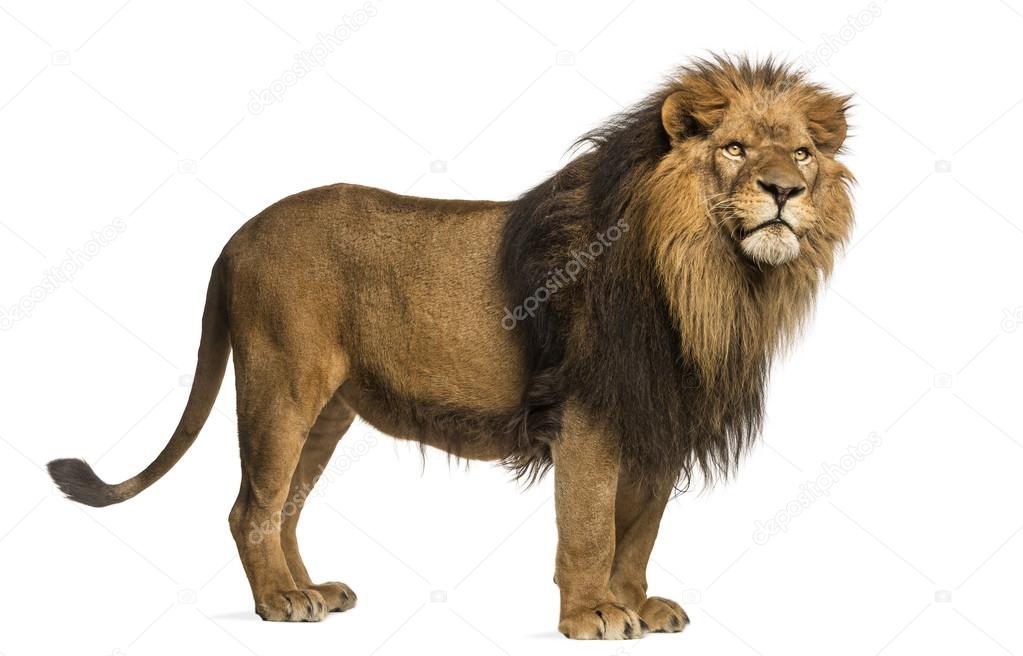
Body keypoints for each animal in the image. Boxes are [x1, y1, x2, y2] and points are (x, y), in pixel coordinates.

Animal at [48, 56, 853, 640]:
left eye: (803, 154)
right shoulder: (588, 416)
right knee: (251, 506)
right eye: (735, 148)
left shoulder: (659, 419)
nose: (783, 190)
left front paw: (636, 605)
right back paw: (278, 601)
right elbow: (591, 527)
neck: (713, 279)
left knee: (285, 508)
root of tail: (235, 237)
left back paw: (309, 589)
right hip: (281, 384)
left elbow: (640, 530)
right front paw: (592, 616)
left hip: (328, 408)